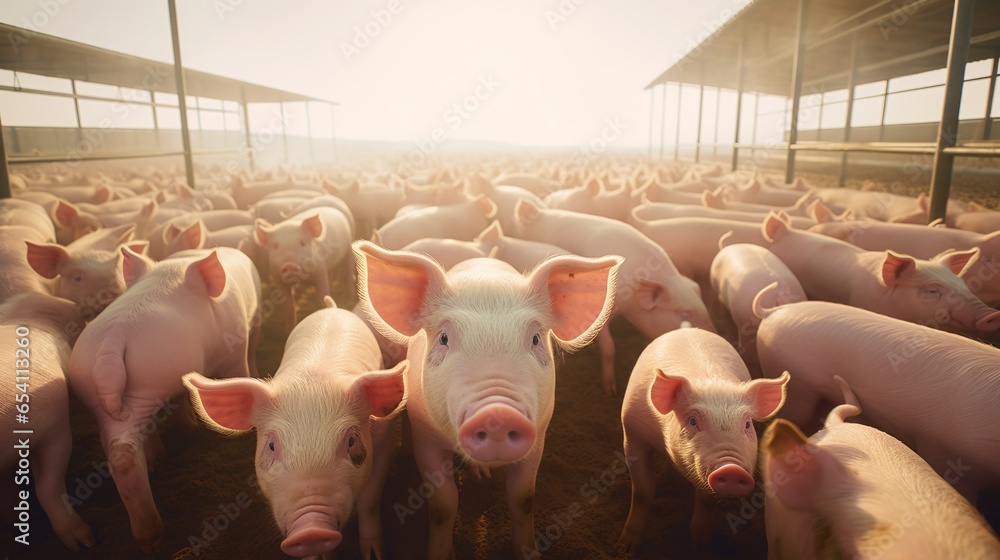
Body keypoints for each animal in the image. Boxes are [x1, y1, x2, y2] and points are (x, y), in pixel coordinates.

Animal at [68, 247, 261, 552]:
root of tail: (113, 341)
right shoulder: (236, 343)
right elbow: (241, 369)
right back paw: (154, 537)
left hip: (108, 398)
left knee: (121, 451)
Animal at [183, 297, 408, 559]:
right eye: (271, 446)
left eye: (352, 441)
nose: (311, 530)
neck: (314, 379)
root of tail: (332, 309)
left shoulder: (383, 439)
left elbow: (369, 501)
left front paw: (374, 554)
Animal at [354, 241, 620, 558]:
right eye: (443, 338)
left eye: (535, 339)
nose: (498, 414)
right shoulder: (426, 438)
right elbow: (443, 505)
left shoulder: (540, 435)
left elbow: (523, 498)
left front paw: (529, 552)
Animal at [513, 199, 713, 394]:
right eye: (685, 314)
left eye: (703, 307)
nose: (714, 335)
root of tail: (538, 214)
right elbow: (609, 347)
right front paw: (611, 390)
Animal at [619, 328, 789, 552]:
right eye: (692, 421)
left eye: (747, 424)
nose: (732, 469)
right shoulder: (633, 432)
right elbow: (642, 492)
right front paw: (626, 548)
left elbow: (706, 501)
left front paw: (700, 547)